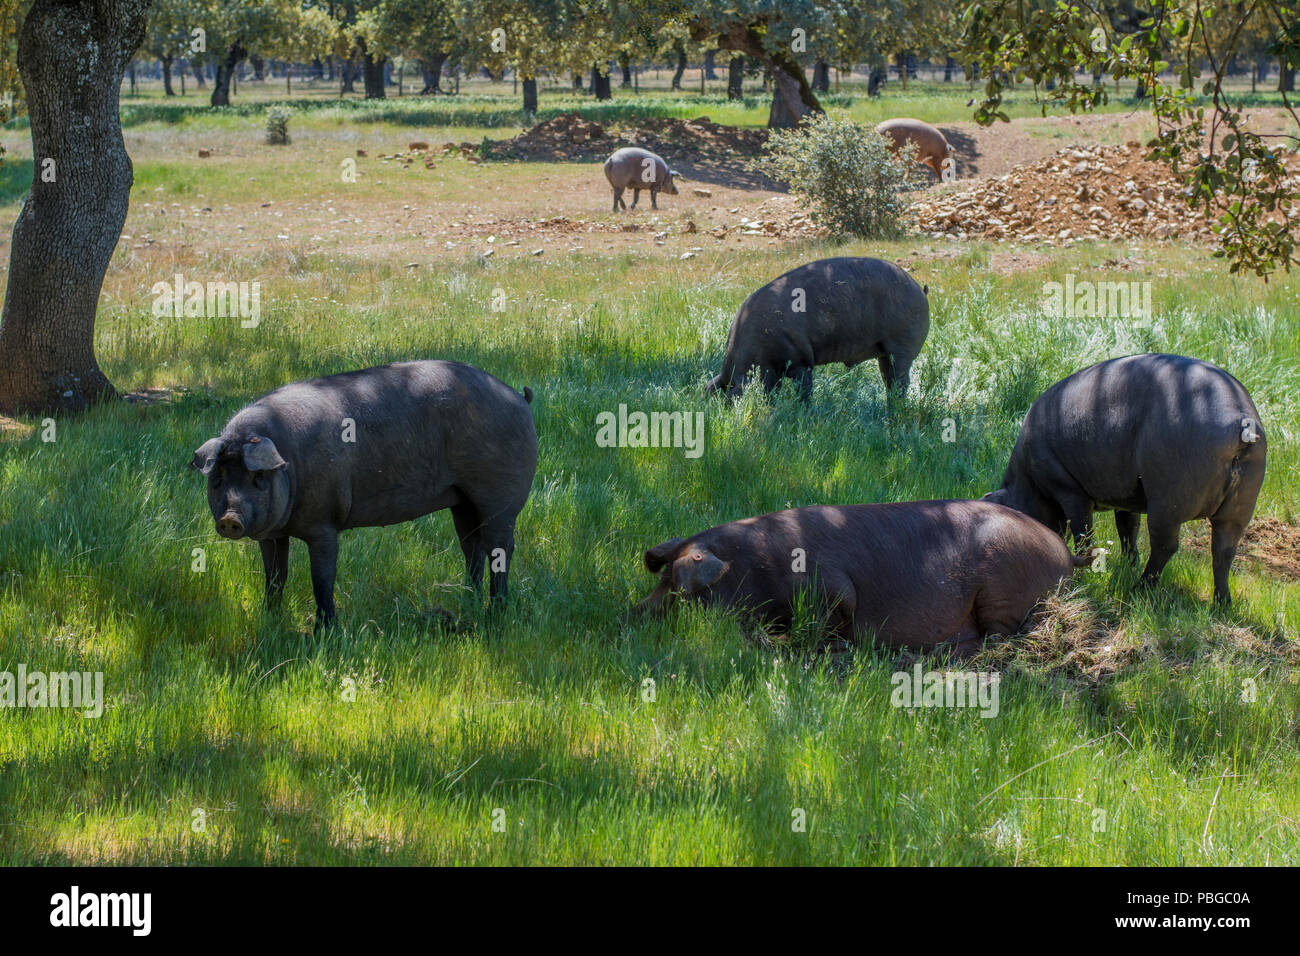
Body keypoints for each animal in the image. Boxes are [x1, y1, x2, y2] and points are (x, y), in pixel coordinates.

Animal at [191, 360, 538, 631]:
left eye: (258, 478)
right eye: (218, 479)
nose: (230, 519)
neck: (291, 462)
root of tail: (520, 399)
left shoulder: (324, 524)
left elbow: (322, 578)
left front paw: (325, 632)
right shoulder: (273, 534)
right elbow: (275, 576)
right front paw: (270, 621)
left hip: (501, 498)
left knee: (500, 548)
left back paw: (496, 613)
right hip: (462, 501)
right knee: (471, 547)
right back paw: (468, 601)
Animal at [638, 500, 1086, 653]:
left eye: (678, 588)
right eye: (661, 579)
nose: (636, 611)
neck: (756, 568)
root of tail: (1063, 550)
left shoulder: (832, 589)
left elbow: (821, 624)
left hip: (1003, 585)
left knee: (1000, 635)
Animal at [705, 257, 929, 401]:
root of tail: (920, 289)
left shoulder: (800, 361)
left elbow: (804, 393)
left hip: (903, 346)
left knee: (900, 382)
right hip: (883, 353)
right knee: (888, 380)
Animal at [984, 354, 1266, 604]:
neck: (1023, 483)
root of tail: (1240, 420)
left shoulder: (1070, 491)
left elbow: (1083, 532)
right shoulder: (1126, 497)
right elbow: (1127, 530)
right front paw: (1127, 564)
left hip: (1167, 503)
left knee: (1166, 546)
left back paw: (1139, 589)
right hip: (1235, 513)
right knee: (1223, 551)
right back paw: (1221, 603)